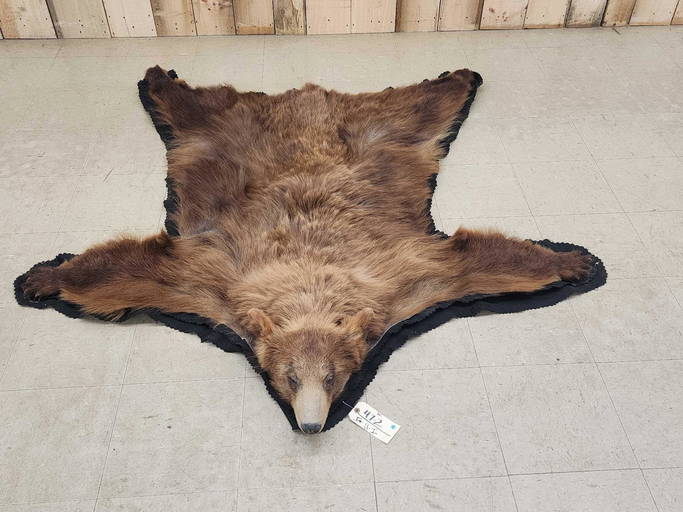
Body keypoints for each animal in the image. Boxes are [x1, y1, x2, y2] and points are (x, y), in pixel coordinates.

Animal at [22, 66, 592, 433]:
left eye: (334, 377)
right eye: (290, 377)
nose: (312, 424)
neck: (310, 282)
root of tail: (309, 96)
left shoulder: (407, 275)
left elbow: (477, 261)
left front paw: (574, 261)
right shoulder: (213, 275)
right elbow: (130, 269)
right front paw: (39, 279)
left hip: (389, 130)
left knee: (423, 106)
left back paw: (461, 76)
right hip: (223, 129)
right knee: (197, 107)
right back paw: (160, 77)